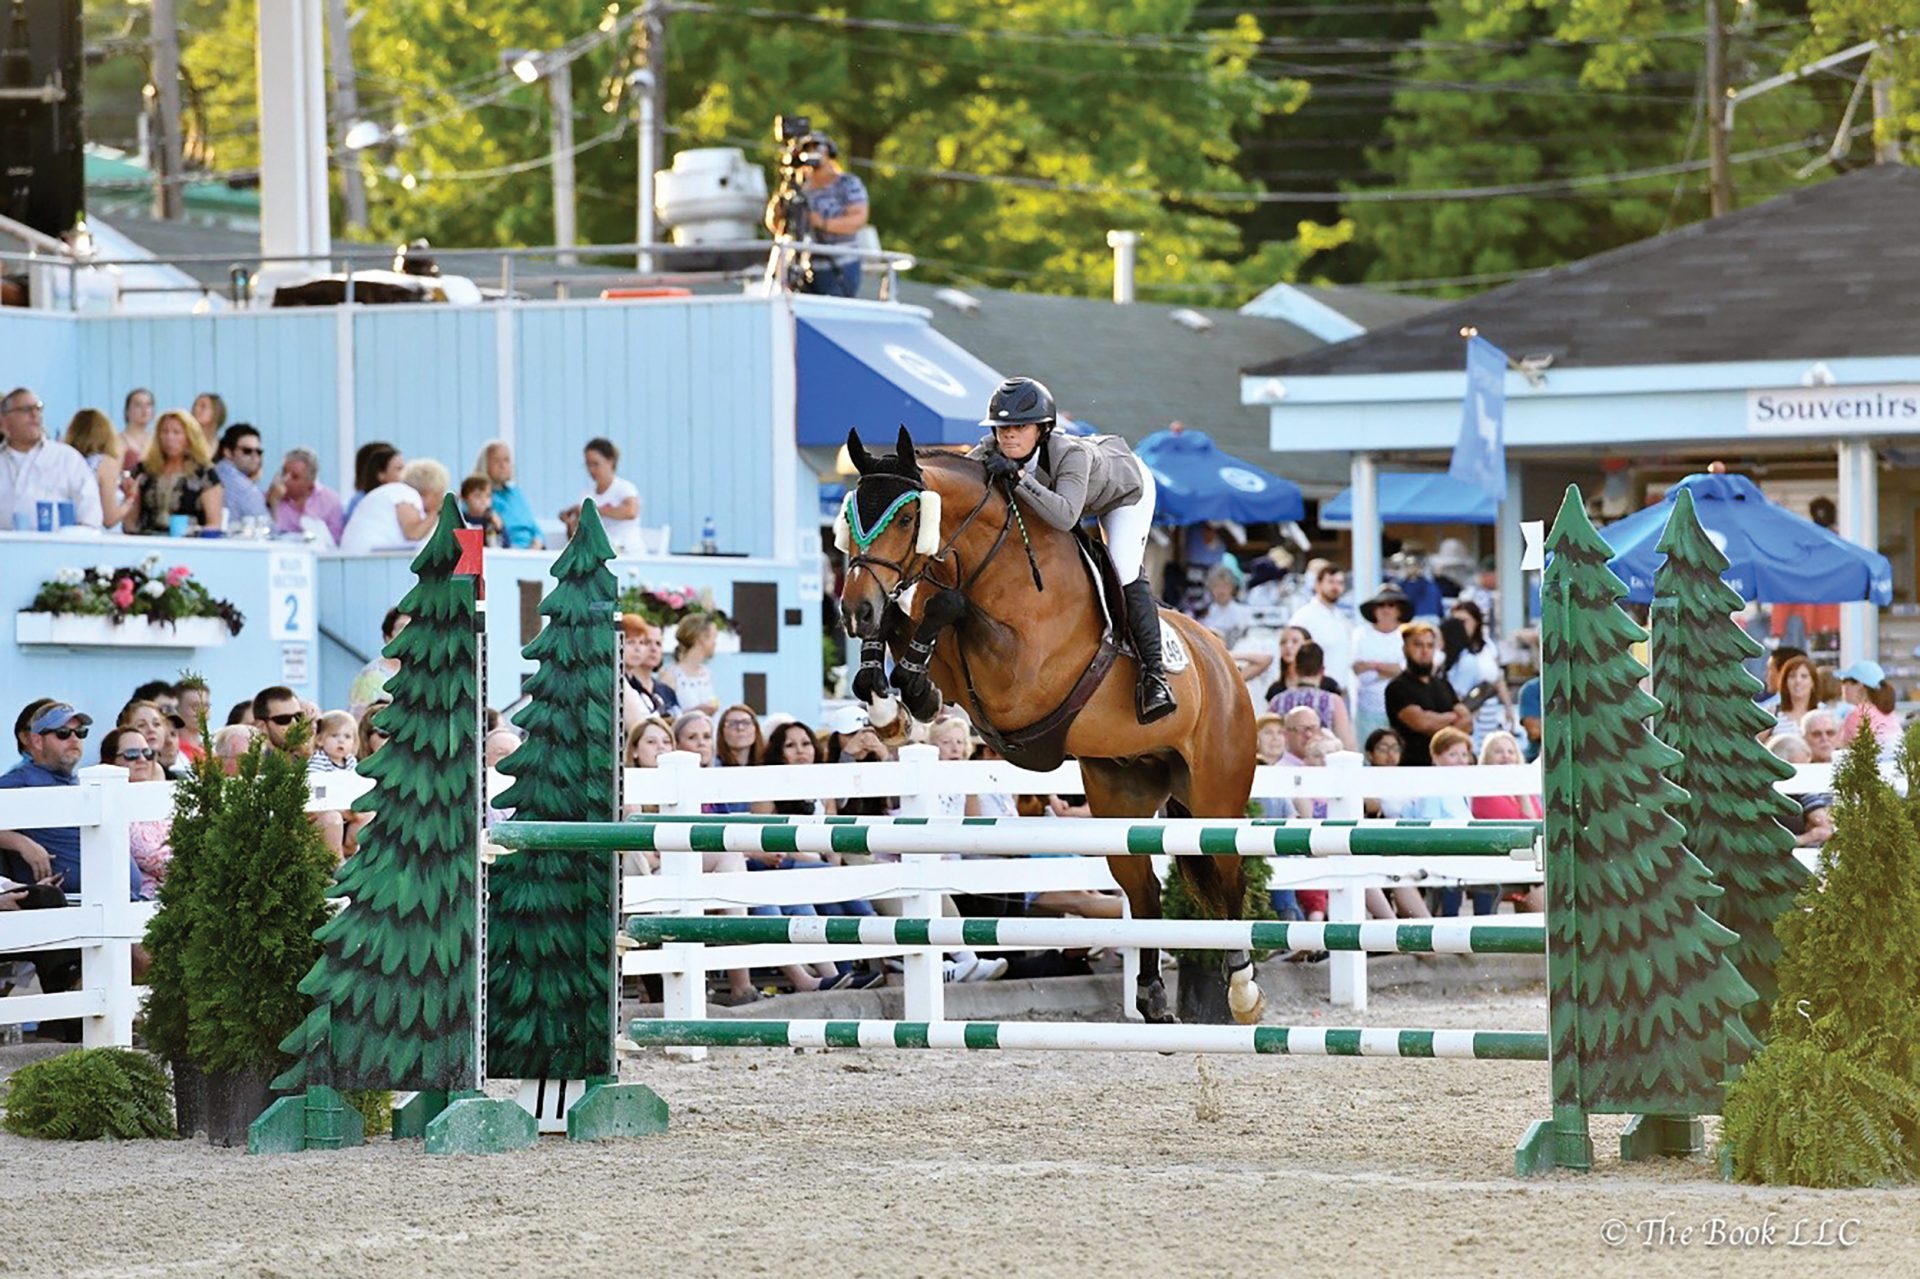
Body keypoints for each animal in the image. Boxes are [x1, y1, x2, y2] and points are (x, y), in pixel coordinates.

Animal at [836, 427, 1261, 1025]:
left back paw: (1243, 991)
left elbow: (950, 607)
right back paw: (1153, 998)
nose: (855, 611)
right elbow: (911, 627)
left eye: (906, 517)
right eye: (849, 514)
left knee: (1228, 881)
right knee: (1144, 891)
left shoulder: (1022, 677)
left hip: (1214, 797)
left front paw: (910, 691)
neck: (991, 562)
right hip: (1120, 795)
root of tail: (1224, 662)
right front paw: (890, 705)